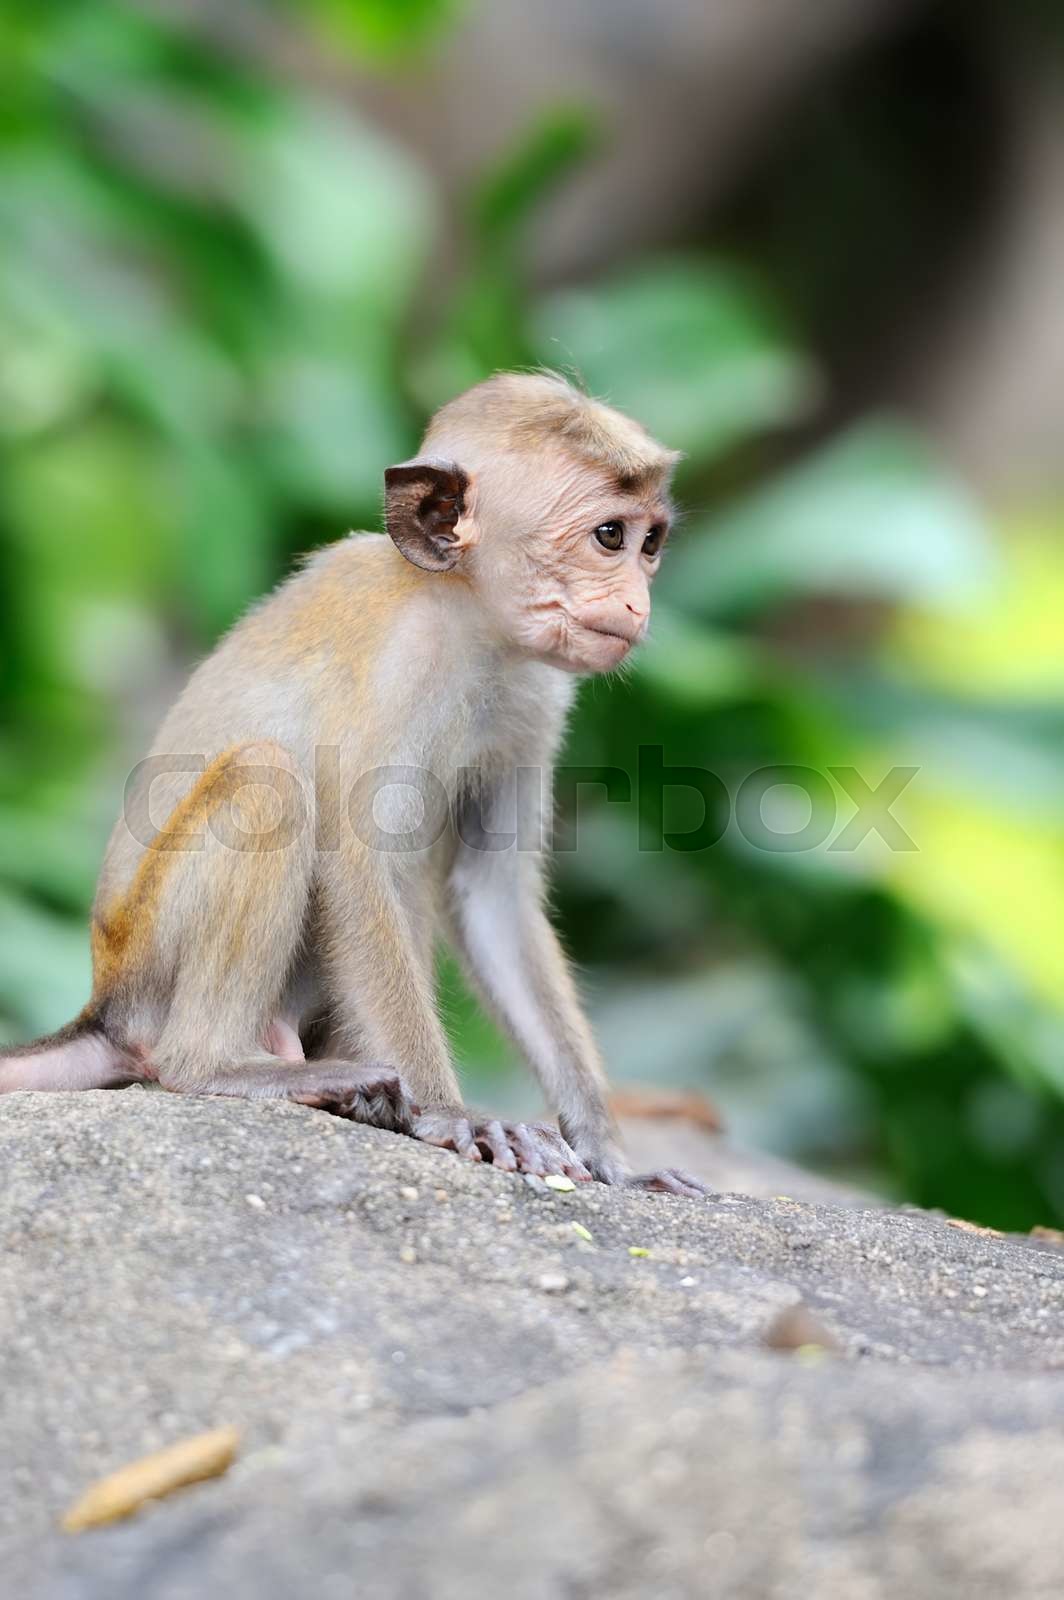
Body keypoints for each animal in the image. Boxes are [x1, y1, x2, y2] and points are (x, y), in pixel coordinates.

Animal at [0, 372, 707, 1197]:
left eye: (649, 542)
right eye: (608, 537)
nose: (637, 603)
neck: (466, 617)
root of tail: (103, 1004)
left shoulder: (538, 697)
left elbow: (490, 894)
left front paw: (612, 1160)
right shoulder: (401, 670)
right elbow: (357, 869)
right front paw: (454, 1116)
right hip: (149, 961)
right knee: (266, 785)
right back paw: (217, 1065)